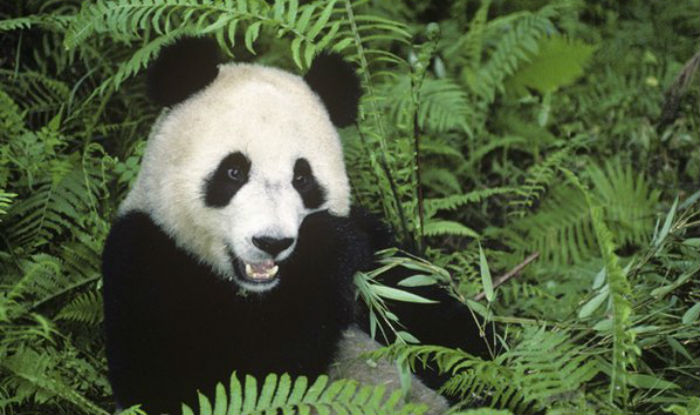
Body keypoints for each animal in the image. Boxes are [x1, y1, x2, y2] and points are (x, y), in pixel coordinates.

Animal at [102, 37, 488, 415]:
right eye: (233, 171)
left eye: (302, 178)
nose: (271, 242)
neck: (256, 291)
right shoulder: (145, 258)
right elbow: (212, 388)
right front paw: (325, 248)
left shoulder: (377, 250)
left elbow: (441, 324)